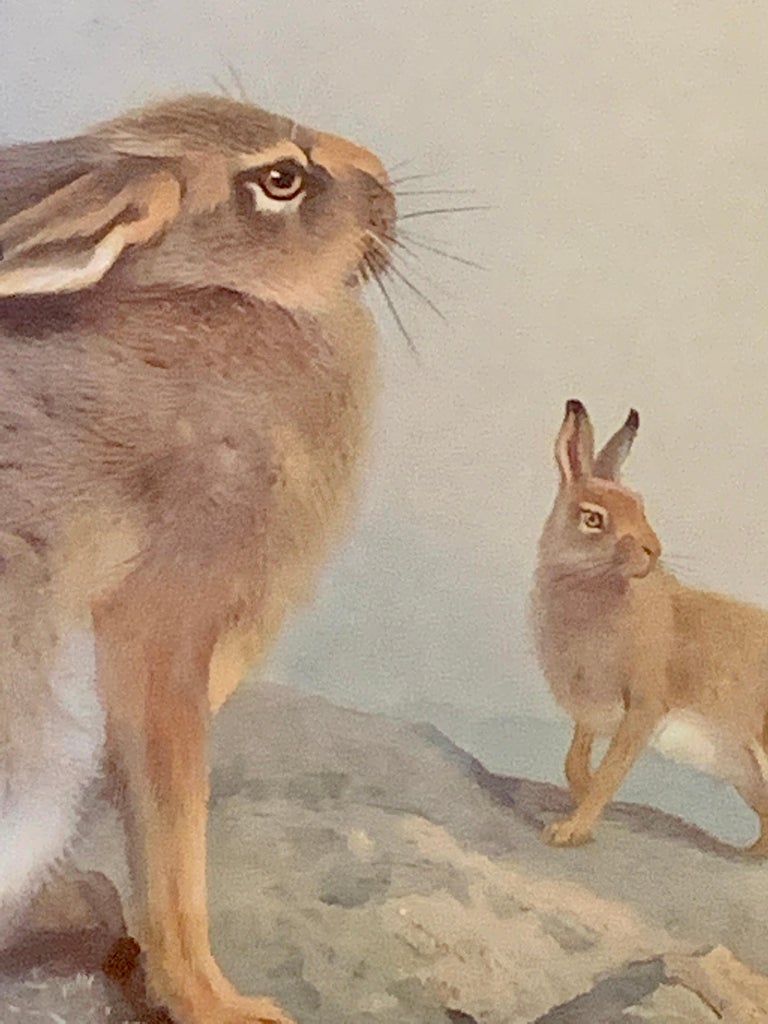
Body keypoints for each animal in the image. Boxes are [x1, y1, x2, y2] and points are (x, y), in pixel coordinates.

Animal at [531, 399, 768, 853]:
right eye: (592, 519)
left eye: (640, 507)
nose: (653, 550)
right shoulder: (591, 709)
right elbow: (575, 762)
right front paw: (580, 809)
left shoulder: (643, 706)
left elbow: (610, 771)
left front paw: (568, 830)